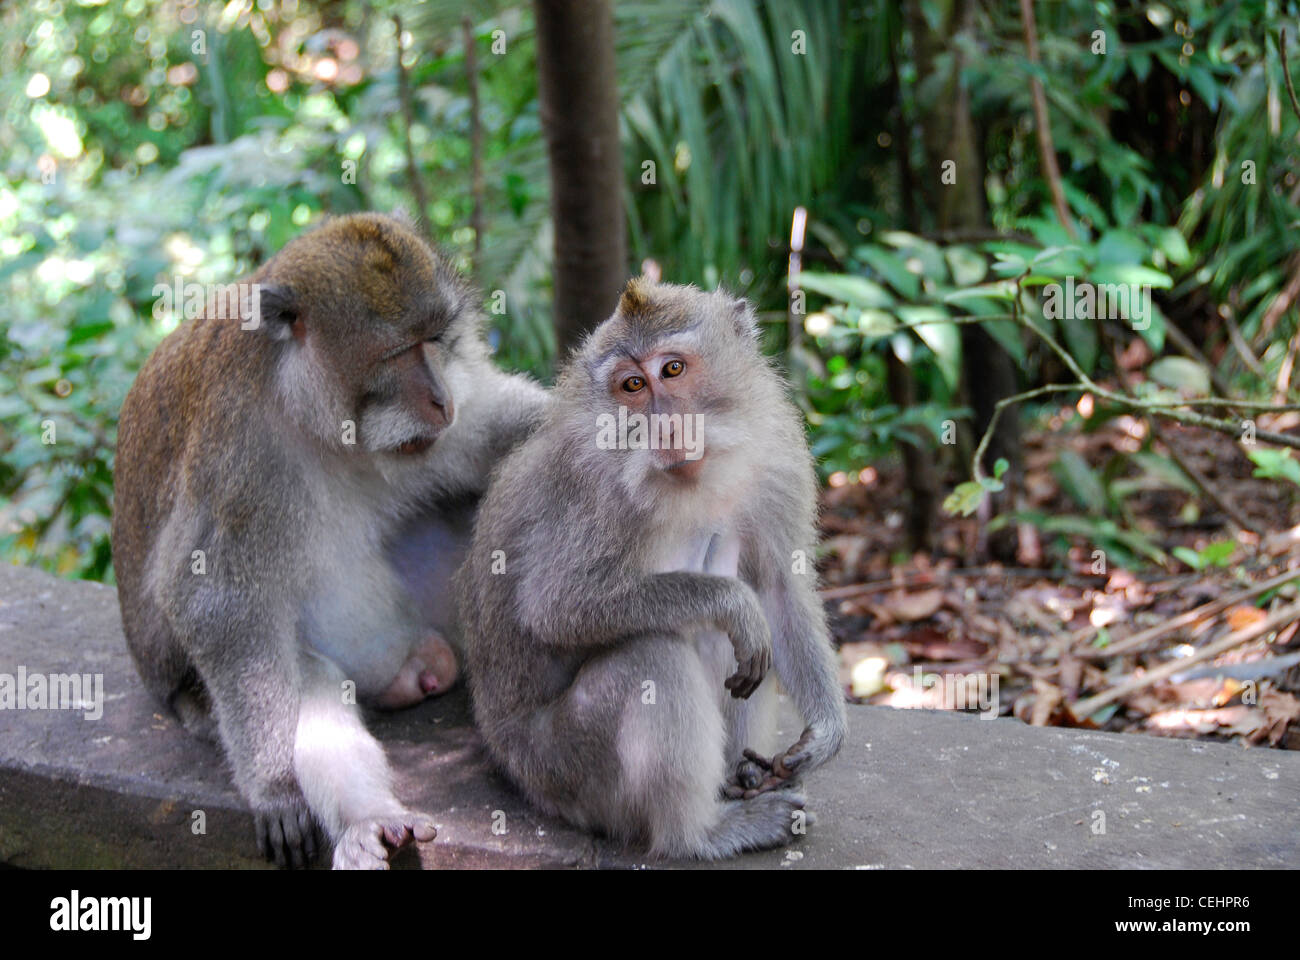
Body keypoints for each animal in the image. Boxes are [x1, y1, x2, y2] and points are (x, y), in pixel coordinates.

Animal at [112, 212, 547, 869]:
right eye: (398, 351)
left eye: (436, 339)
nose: (440, 398)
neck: (314, 416)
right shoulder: (238, 450)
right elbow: (212, 599)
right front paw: (274, 787)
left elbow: (494, 429)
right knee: (305, 683)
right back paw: (367, 818)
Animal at [456, 279, 846, 860]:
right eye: (633, 385)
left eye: (673, 370)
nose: (665, 426)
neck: (697, 475)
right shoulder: (593, 490)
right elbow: (555, 606)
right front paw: (731, 603)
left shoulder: (774, 455)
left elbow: (780, 587)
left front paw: (823, 735)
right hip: (564, 766)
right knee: (653, 653)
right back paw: (701, 833)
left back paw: (742, 780)